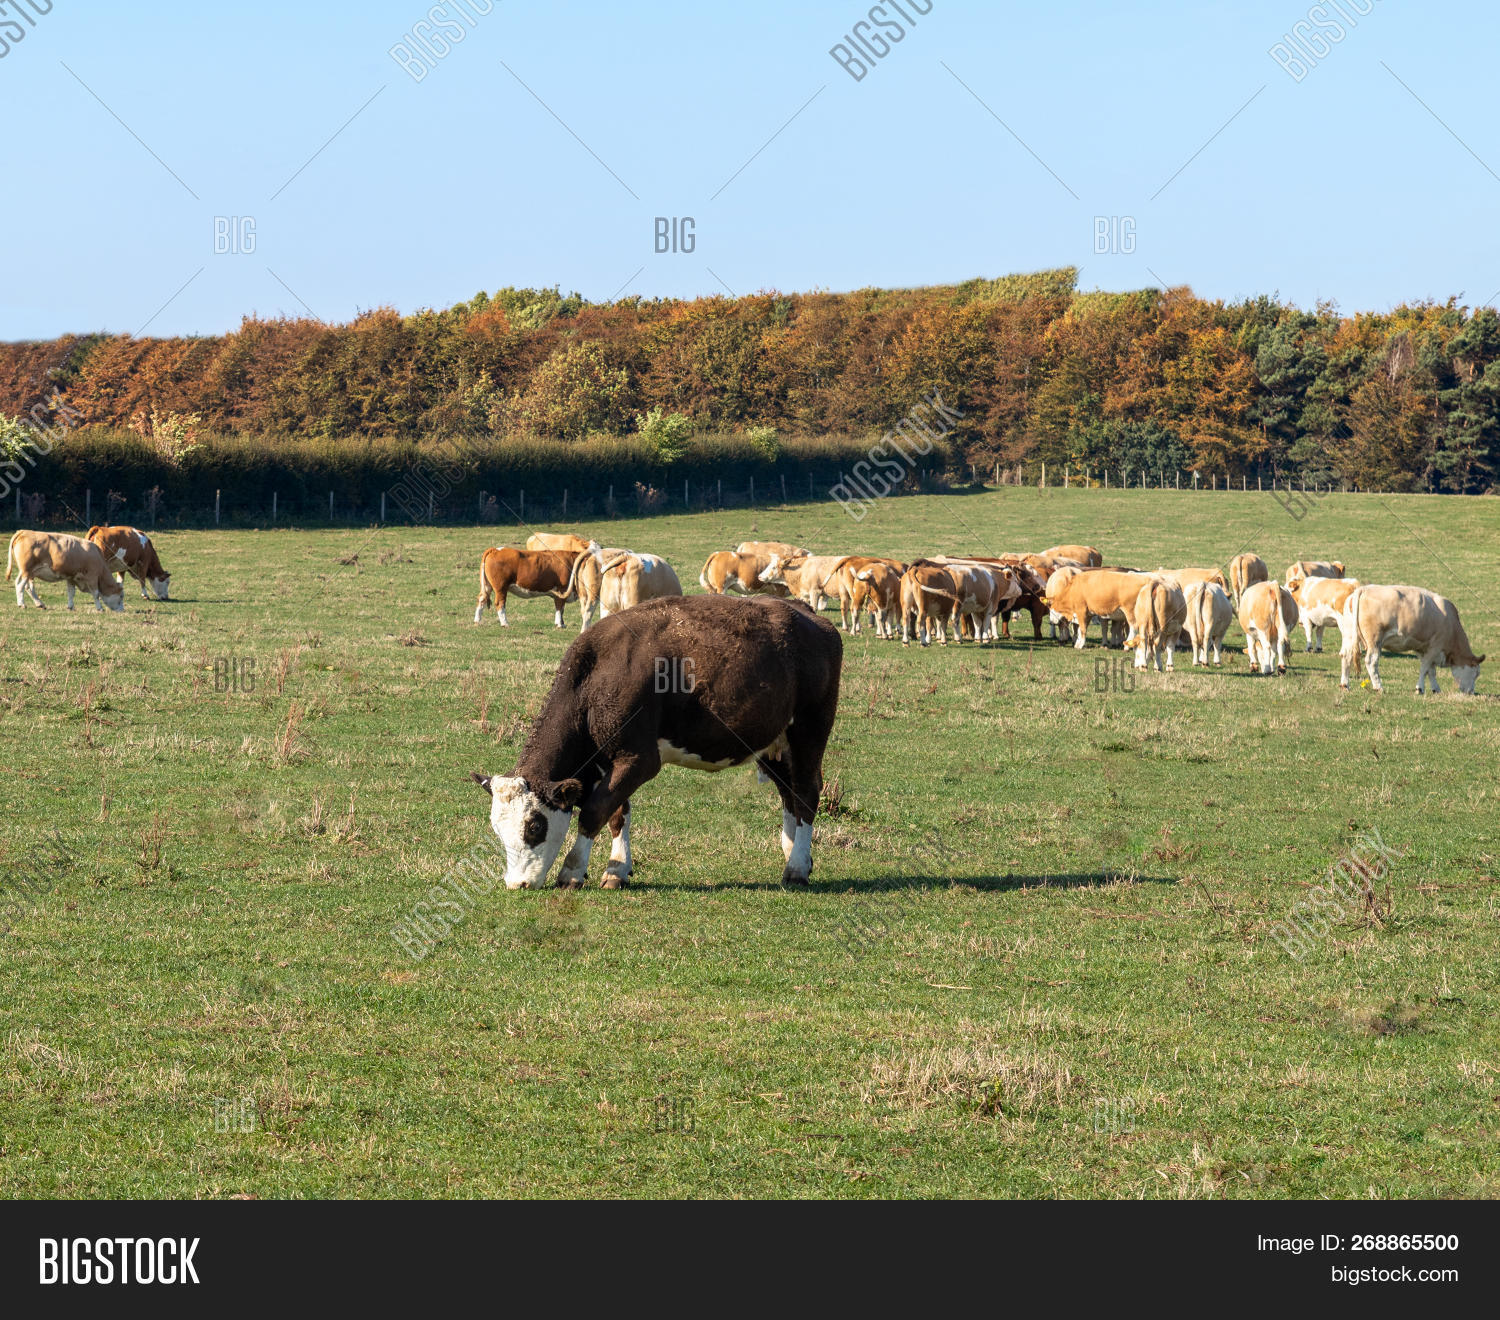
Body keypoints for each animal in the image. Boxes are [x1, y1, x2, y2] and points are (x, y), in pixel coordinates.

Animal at [470, 594, 842, 889]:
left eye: (534, 826)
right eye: (497, 829)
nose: (516, 884)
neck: (598, 675)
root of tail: (806, 612)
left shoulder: (640, 759)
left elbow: (594, 812)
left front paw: (573, 871)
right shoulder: (607, 762)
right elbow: (617, 813)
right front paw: (617, 869)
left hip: (809, 731)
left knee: (806, 792)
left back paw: (796, 867)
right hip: (772, 743)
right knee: (788, 794)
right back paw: (796, 853)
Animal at [1339, 585, 1484, 694]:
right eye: (1476, 673)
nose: (1471, 692)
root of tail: (1364, 588)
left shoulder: (1422, 648)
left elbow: (1431, 671)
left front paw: (1435, 689)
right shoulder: (1435, 646)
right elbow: (1425, 668)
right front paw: (1419, 688)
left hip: (1349, 636)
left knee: (1346, 656)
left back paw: (1345, 685)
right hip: (1374, 641)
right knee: (1371, 661)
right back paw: (1378, 687)